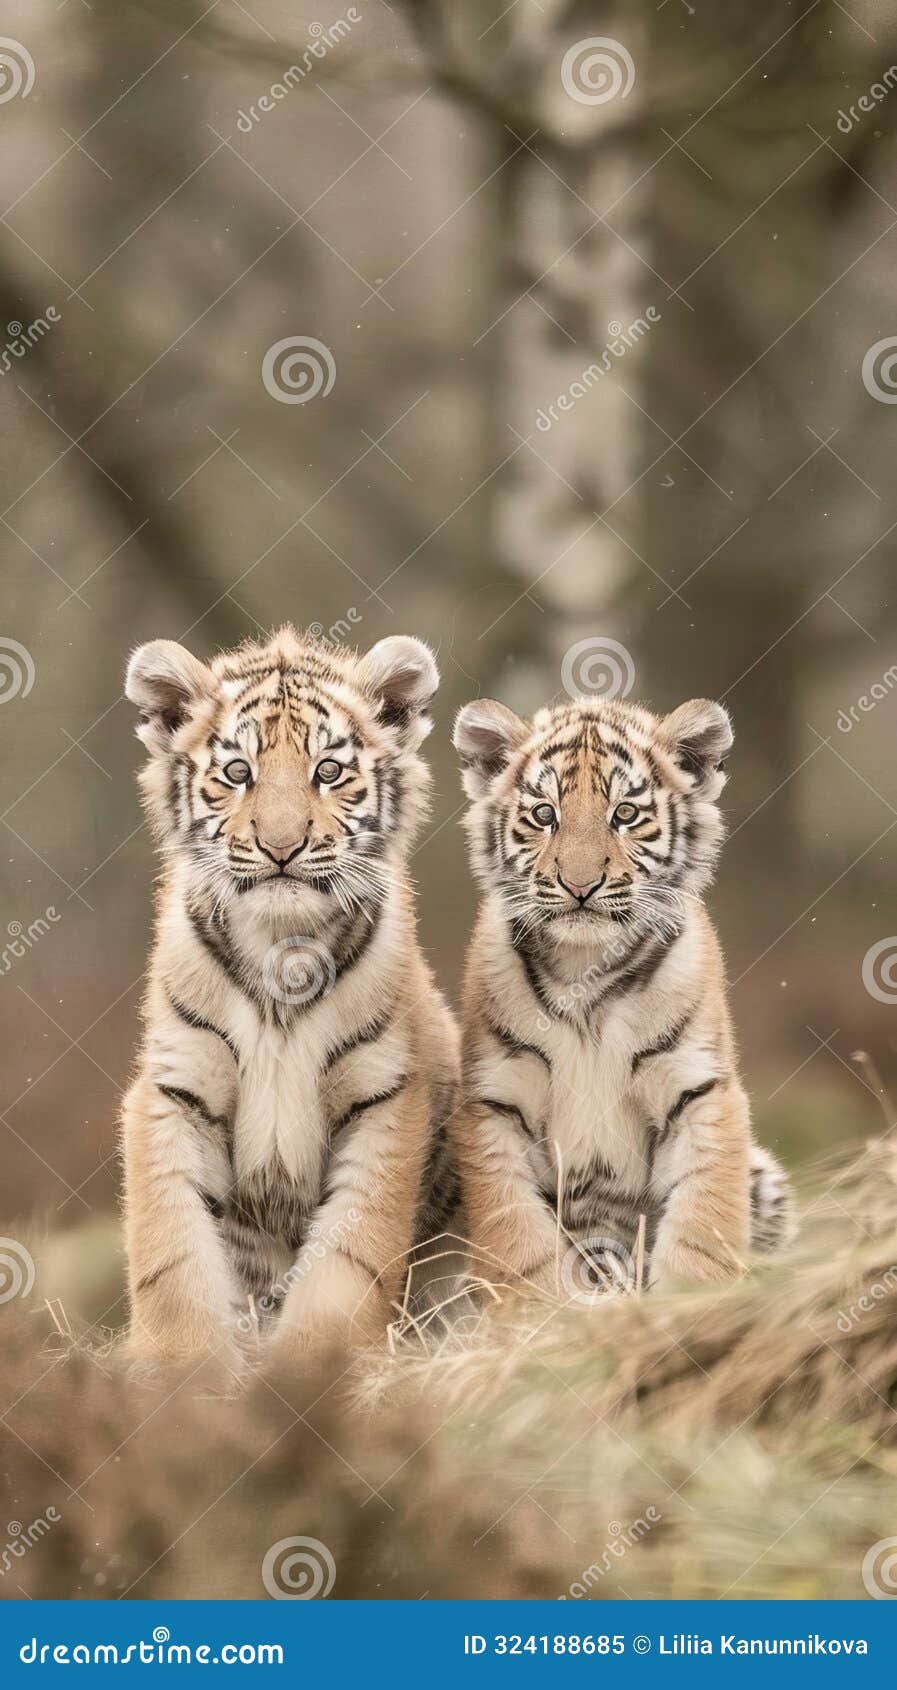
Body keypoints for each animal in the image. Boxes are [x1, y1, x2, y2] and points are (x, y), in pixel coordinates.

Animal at [121, 624, 459, 1377]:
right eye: (237, 772)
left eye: (327, 772)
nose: (281, 847)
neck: (284, 951)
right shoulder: (175, 1088)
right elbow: (171, 1249)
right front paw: (180, 1371)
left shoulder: (385, 1097)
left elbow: (350, 1254)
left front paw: (310, 1370)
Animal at [451, 690, 794, 1299]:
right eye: (545, 815)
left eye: (626, 815)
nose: (580, 885)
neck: (585, 970)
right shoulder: (495, 1100)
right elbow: (515, 1238)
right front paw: (534, 1314)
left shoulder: (697, 1087)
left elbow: (704, 1217)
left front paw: (690, 1300)